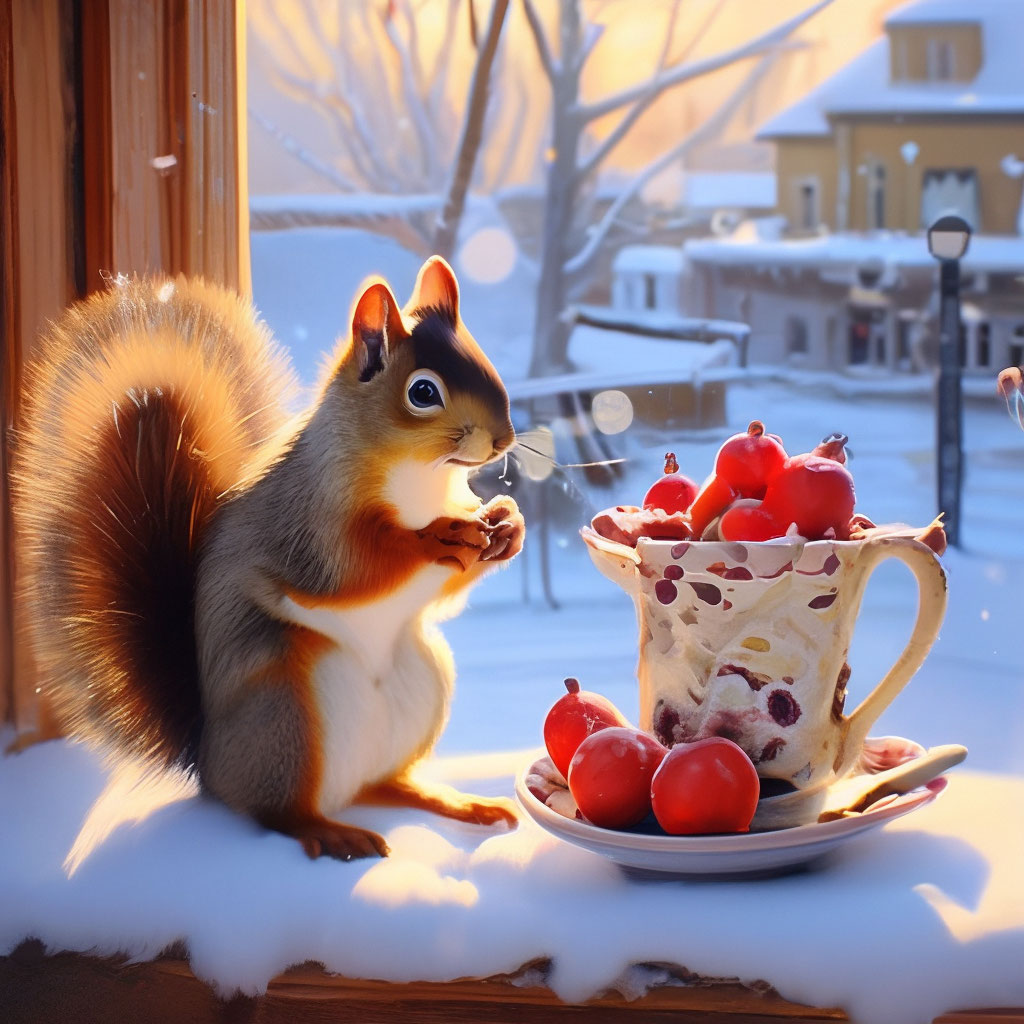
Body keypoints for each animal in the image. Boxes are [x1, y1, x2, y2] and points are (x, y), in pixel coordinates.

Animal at [13, 256, 525, 861]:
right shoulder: (309, 526)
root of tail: (209, 765)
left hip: (424, 681)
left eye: (483, 358)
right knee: (278, 812)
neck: (423, 478)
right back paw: (331, 831)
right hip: (283, 712)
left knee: (384, 783)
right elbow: (353, 570)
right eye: (423, 392)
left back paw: (453, 801)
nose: (502, 440)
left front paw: (508, 523)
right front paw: (439, 538)